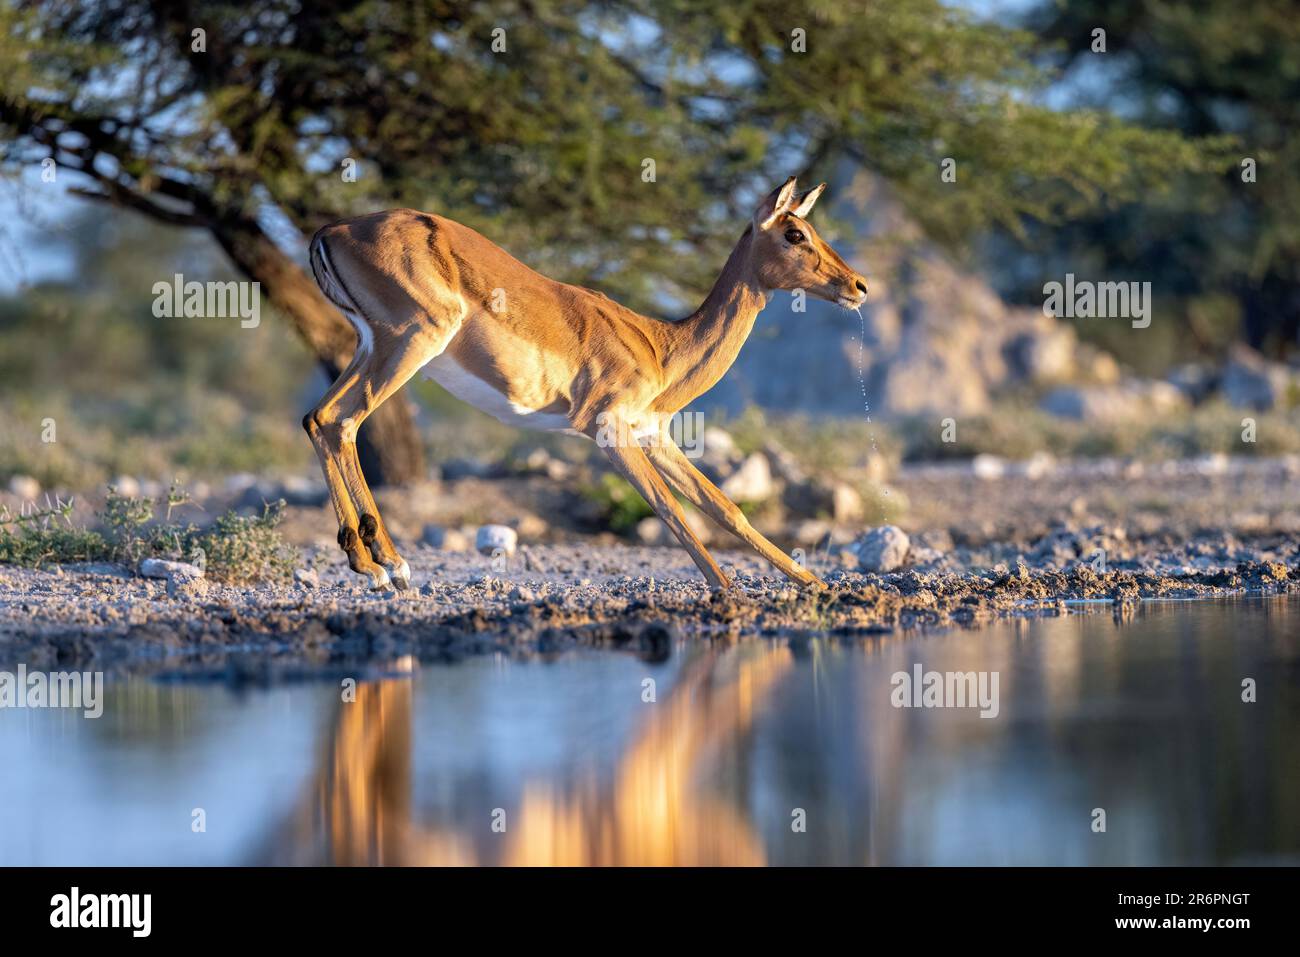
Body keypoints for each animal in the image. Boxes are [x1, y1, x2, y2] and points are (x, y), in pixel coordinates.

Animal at [304, 176, 869, 592]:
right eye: (795, 234)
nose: (858, 285)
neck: (663, 347)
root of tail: (330, 231)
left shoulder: (654, 434)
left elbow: (725, 508)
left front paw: (817, 586)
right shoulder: (607, 428)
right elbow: (668, 507)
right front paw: (726, 591)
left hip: (370, 347)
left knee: (317, 418)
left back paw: (368, 561)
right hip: (411, 341)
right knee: (343, 422)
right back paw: (388, 566)